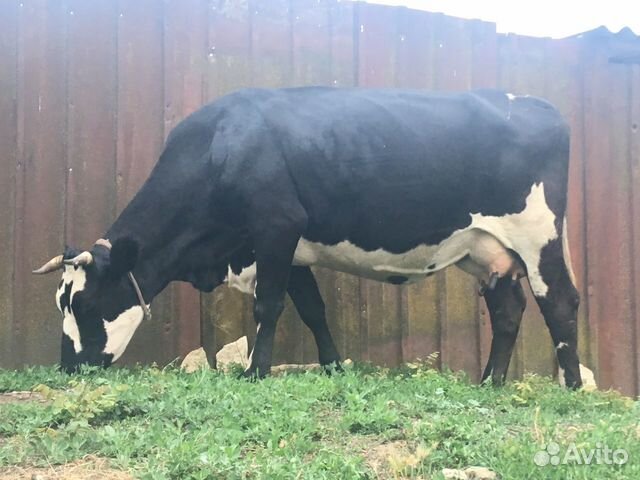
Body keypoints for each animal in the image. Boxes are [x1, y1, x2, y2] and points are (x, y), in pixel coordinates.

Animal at [33, 87, 583, 388]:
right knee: (509, 309)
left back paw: (573, 387)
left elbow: (269, 305)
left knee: (559, 301)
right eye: (61, 301)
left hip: (538, 237)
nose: (67, 367)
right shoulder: (289, 248)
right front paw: (333, 367)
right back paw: (489, 384)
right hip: (488, 251)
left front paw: (254, 372)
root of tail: (539, 106)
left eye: (82, 304)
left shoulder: (276, 224)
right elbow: (311, 308)